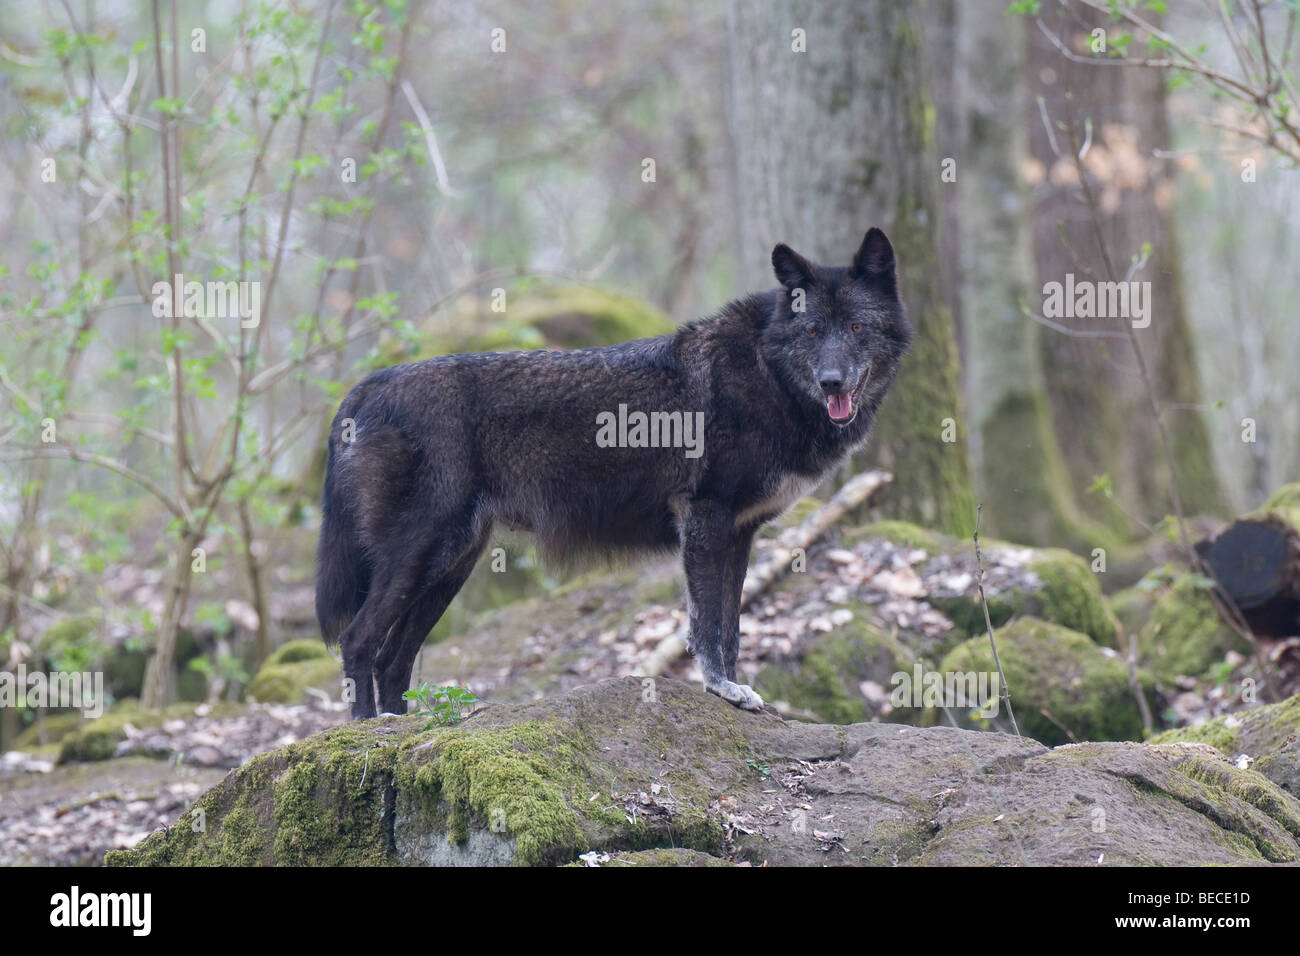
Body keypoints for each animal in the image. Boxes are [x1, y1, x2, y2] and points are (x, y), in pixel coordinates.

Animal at [316, 228, 912, 718]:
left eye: (856, 326)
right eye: (811, 331)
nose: (833, 382)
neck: (768, 373)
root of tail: (369, 385)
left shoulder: (739, 533)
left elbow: (732, 628)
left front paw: (736, 689)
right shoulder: (705, 519)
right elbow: (707, 626)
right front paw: (721, 689)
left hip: (450, 564)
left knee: (394, 659)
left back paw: (403, 729)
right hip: (421, 554)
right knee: (358, 640)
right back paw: (368, 731)